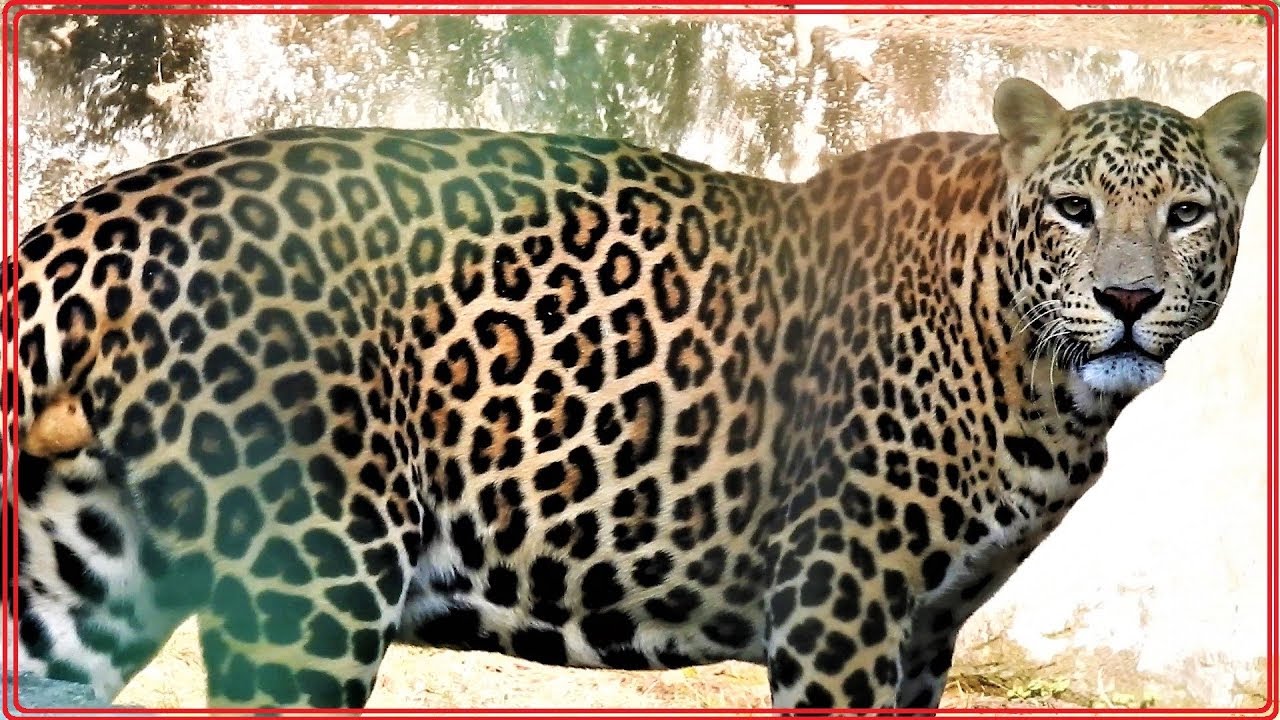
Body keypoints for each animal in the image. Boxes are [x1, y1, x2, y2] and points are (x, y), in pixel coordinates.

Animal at [2, 77, 1266, 709]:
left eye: (1183, 214)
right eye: (1072, 209)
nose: (1124, 298)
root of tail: (95, 216)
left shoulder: (922, 634)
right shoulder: (837, 611)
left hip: (80, 577)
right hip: (309, 585)